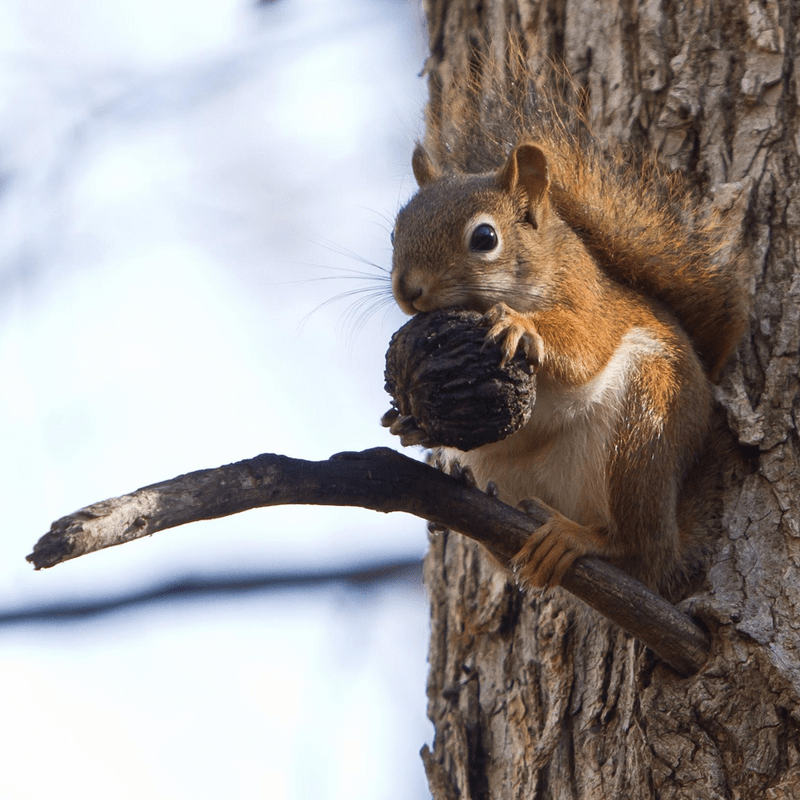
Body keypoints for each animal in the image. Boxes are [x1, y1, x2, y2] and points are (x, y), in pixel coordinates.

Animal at [386, 85, 748, 597]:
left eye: (485, 237)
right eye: (396, 230)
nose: (408, 290)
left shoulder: (589, 299)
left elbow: (583, 347)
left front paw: (522, 325)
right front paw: (408, 422)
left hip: (643, 428)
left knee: (638, 548)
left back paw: (582, 540)